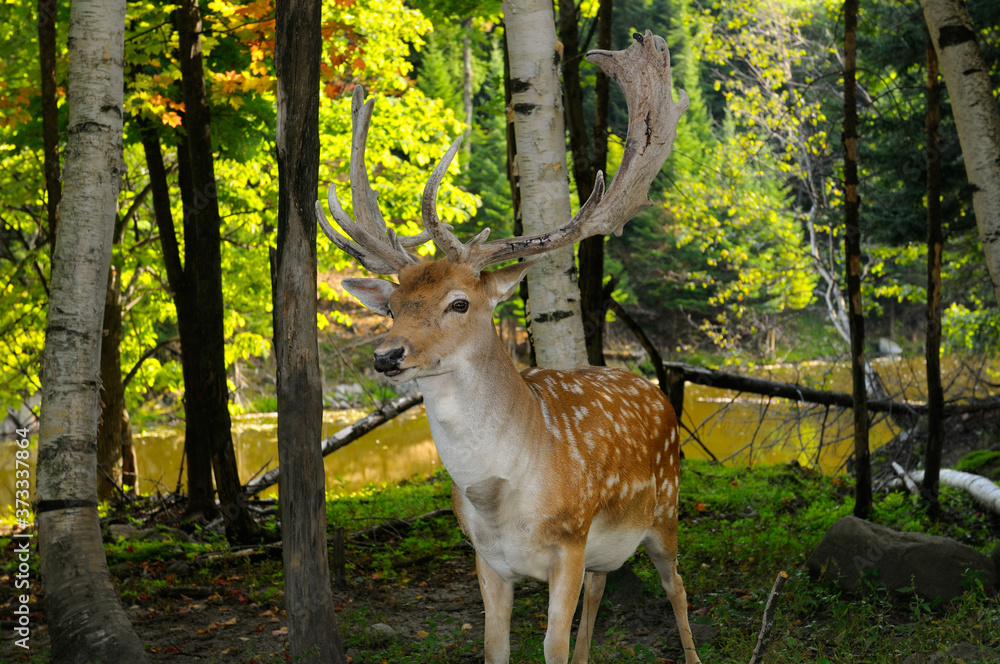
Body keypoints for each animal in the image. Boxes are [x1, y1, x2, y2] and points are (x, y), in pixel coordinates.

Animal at [317, 32, 699, 664]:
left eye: (459, 303)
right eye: (392, 306)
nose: (386, 356)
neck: (498, 498)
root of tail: (650, 386)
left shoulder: (569, 541)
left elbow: (553, 647)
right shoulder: (485, 559)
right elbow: (496, 647)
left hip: (665, 509)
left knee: (679, 590)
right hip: (607, 546)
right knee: (601, 594)